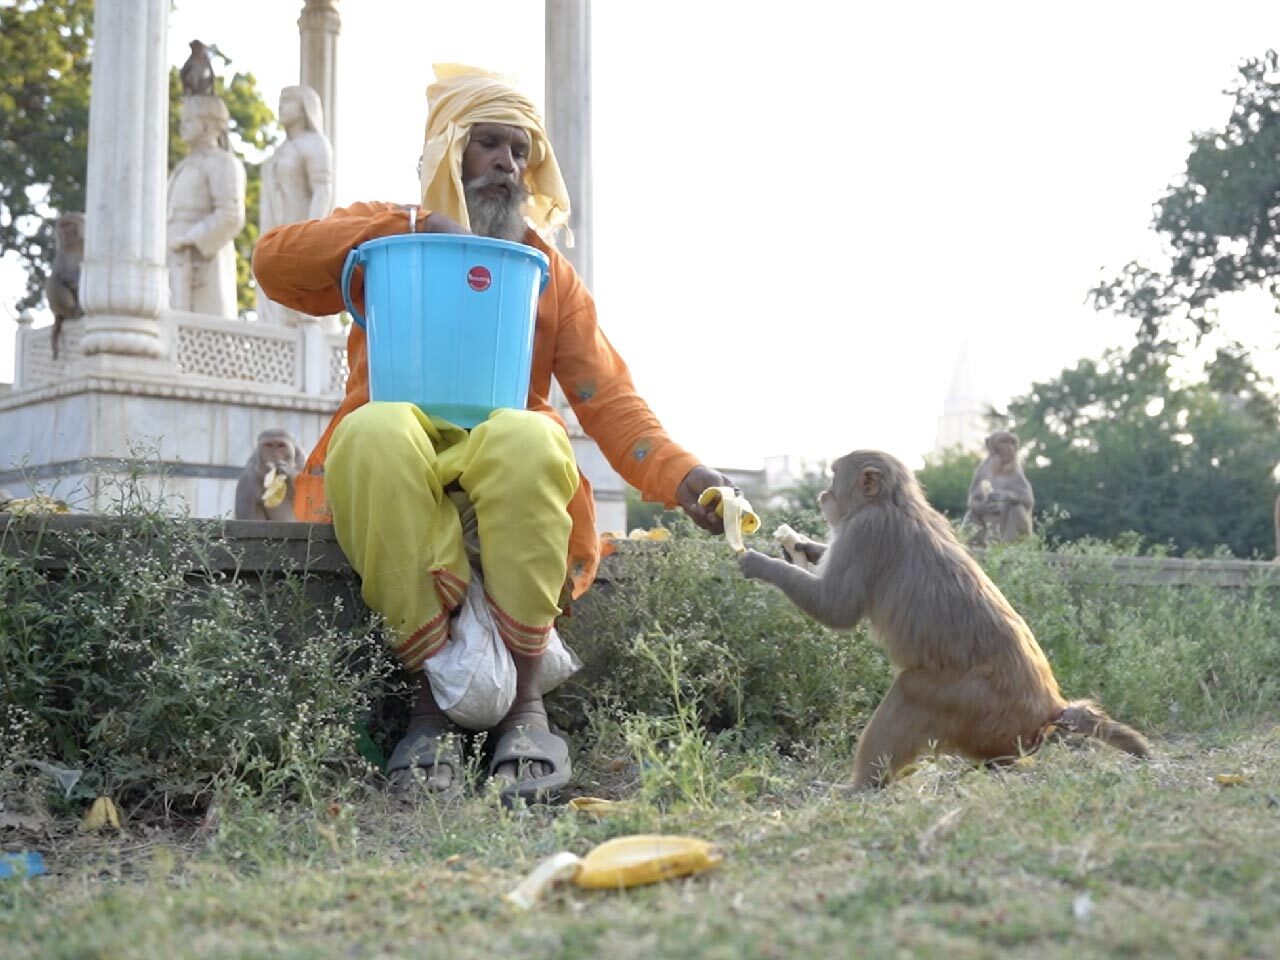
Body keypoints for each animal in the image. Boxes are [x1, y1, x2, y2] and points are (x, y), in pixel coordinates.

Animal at [46, 213, 86, 360]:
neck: (76, 245)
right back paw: (74, 313)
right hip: (62, 308)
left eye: (68, 225)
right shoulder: (63, 251)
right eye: (62, 226)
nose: (62, 233)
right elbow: (64, 275)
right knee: (53, 280)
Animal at [739, 449, 1151, 789]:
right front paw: (805, 546)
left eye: (834, 476)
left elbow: (837, 609)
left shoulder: (866, 530)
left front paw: (762, 563)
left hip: (977, 705)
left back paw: (861, 786)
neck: (896, 503)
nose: (824, 495)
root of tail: (1050, 706)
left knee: (911, 690)